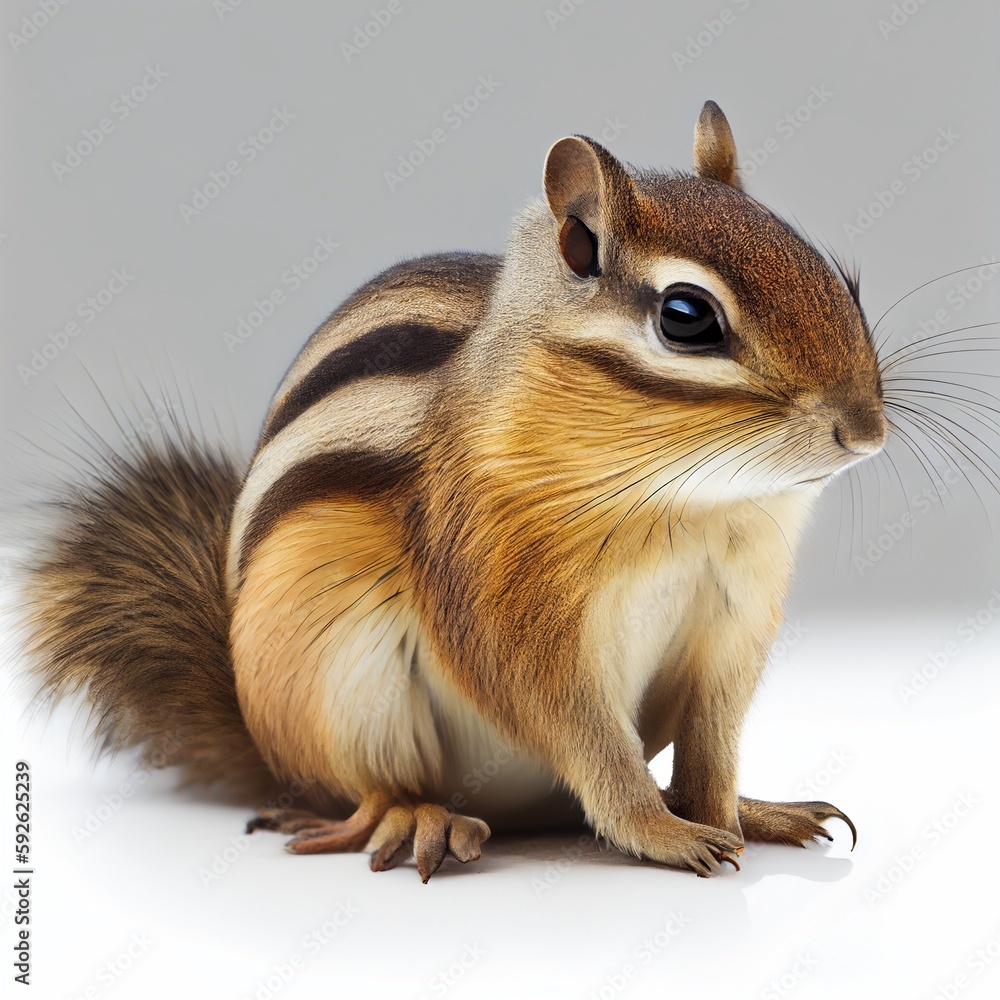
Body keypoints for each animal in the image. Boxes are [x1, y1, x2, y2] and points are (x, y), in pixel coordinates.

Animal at [17, 101, 883, 882]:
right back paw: (412, 817)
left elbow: (714, 744)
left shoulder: (733, 624)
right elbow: (578, 730)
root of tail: (267, 752)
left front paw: (732, 815)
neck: (696, 505)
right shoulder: (502, 597)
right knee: (359, 792)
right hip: (335, 688)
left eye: (842, 280)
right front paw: (663, 834)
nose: (866, 431)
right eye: (686, 316)